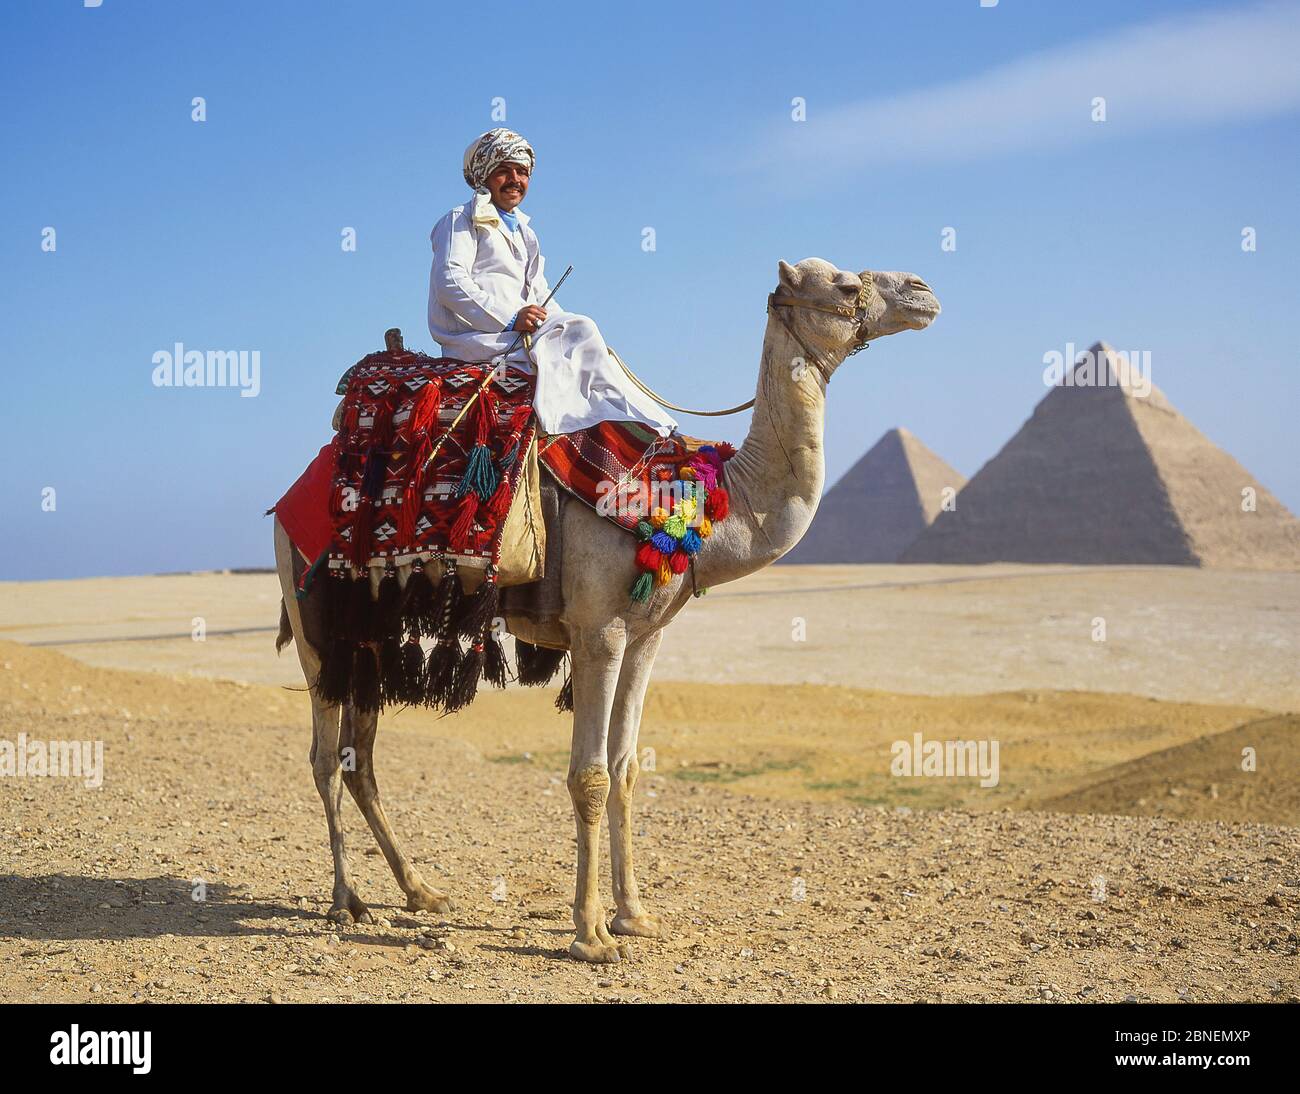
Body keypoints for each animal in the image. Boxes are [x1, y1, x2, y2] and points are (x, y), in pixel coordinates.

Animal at [274, 259, 941, 961]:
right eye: (845, 284)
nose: (923, 292)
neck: (702, 504)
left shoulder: (646, 637)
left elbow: (625, 768)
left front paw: (634, 915)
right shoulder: (599, 631)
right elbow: (589, 775)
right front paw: (591, 934)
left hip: (373, 630)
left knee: (361, 759)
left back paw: (420, 892)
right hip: (315, 617)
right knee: (325, 756)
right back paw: (345, 901)